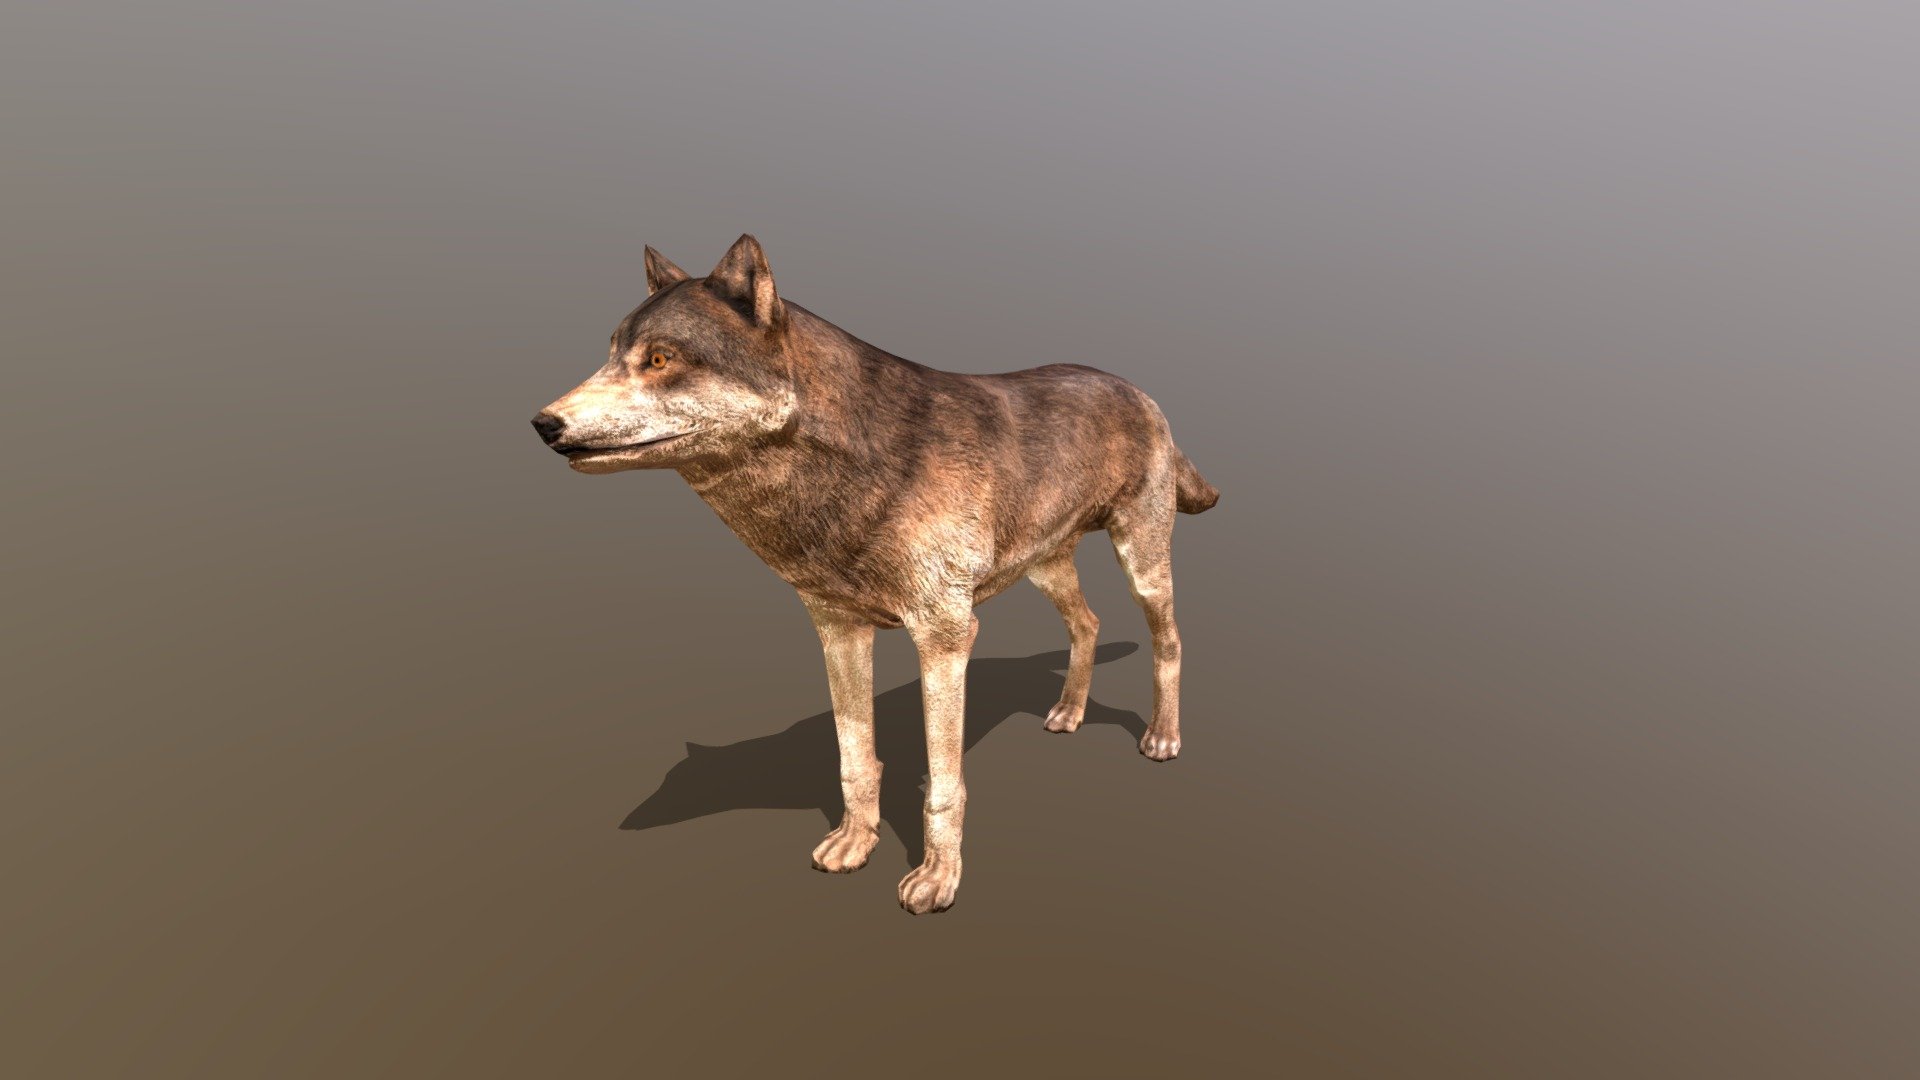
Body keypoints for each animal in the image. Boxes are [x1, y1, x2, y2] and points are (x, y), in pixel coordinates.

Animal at [532, 235, 1218, 914]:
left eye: (660, 358)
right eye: (611, 355)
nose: (542, 423)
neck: (854, 466)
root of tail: (1136, 388)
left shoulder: (946, 637)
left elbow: (943, 784)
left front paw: (937, 880)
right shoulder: (838, 631)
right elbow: (854, 758)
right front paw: (855, 843)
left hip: (1141, 564)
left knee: (1170, 641)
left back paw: (1162, 738)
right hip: (1046, 570)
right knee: (1088, 623)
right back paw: (1069, 713)